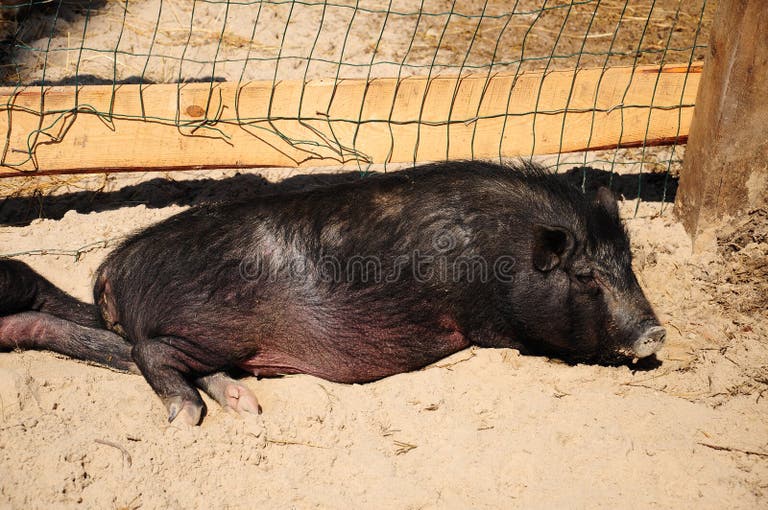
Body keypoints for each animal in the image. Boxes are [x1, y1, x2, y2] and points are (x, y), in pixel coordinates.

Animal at [0, 161, 666, 425]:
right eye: (586, 276)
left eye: (629, 263)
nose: (656, 331)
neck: (498, 255)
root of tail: (112, 269)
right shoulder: (496, 326)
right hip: (216, 324)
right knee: (152, 353)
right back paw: (188, 417)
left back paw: (243, 403)